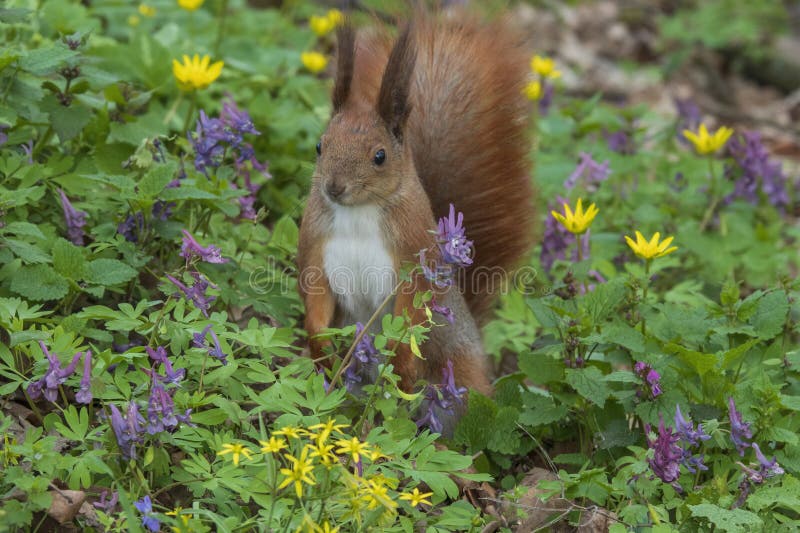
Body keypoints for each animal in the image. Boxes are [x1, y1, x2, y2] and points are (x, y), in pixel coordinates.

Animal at [297, 12, 535, 395]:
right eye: (320, 146)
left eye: (379, 156)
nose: (334, 188)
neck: (358, 212)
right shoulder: (316, 247)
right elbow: (315, 299)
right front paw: (320, 346)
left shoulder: (412, 255)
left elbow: (411, 310)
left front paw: (400, 360)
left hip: (459, 366)